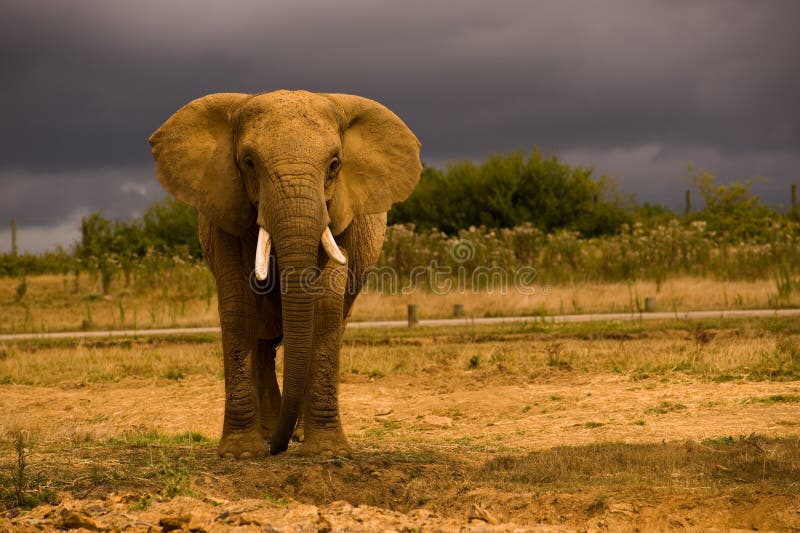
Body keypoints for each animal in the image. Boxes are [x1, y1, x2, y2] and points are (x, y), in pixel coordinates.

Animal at [148, 90, 421, 457]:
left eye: (334, 164)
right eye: (249, 162)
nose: (278, 448)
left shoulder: (343, 210)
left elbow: (325, 308)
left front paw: (327, 453)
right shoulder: (223, 206)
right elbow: (238, 308)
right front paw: (241, 453)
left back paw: (296, 434)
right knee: (262, 339)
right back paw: (268, 433)